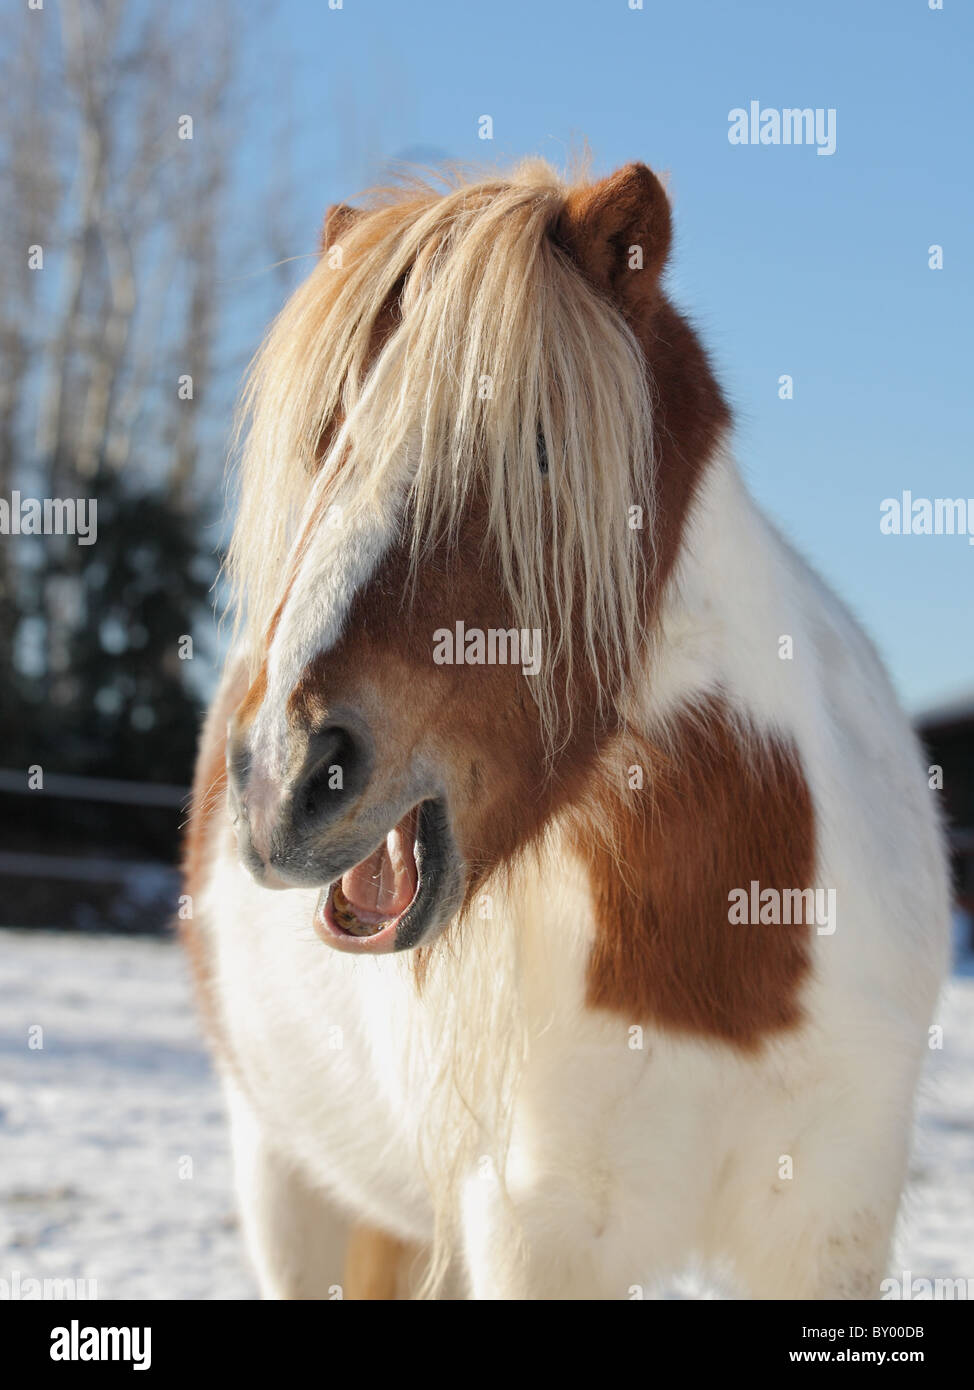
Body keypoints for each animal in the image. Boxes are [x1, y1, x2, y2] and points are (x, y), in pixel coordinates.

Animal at [183, 159, 950, 1299]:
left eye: (537, 449)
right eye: (325, 442)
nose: (283, 779)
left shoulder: (827, 1223)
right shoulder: (534, 1226)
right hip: (287, 1183)